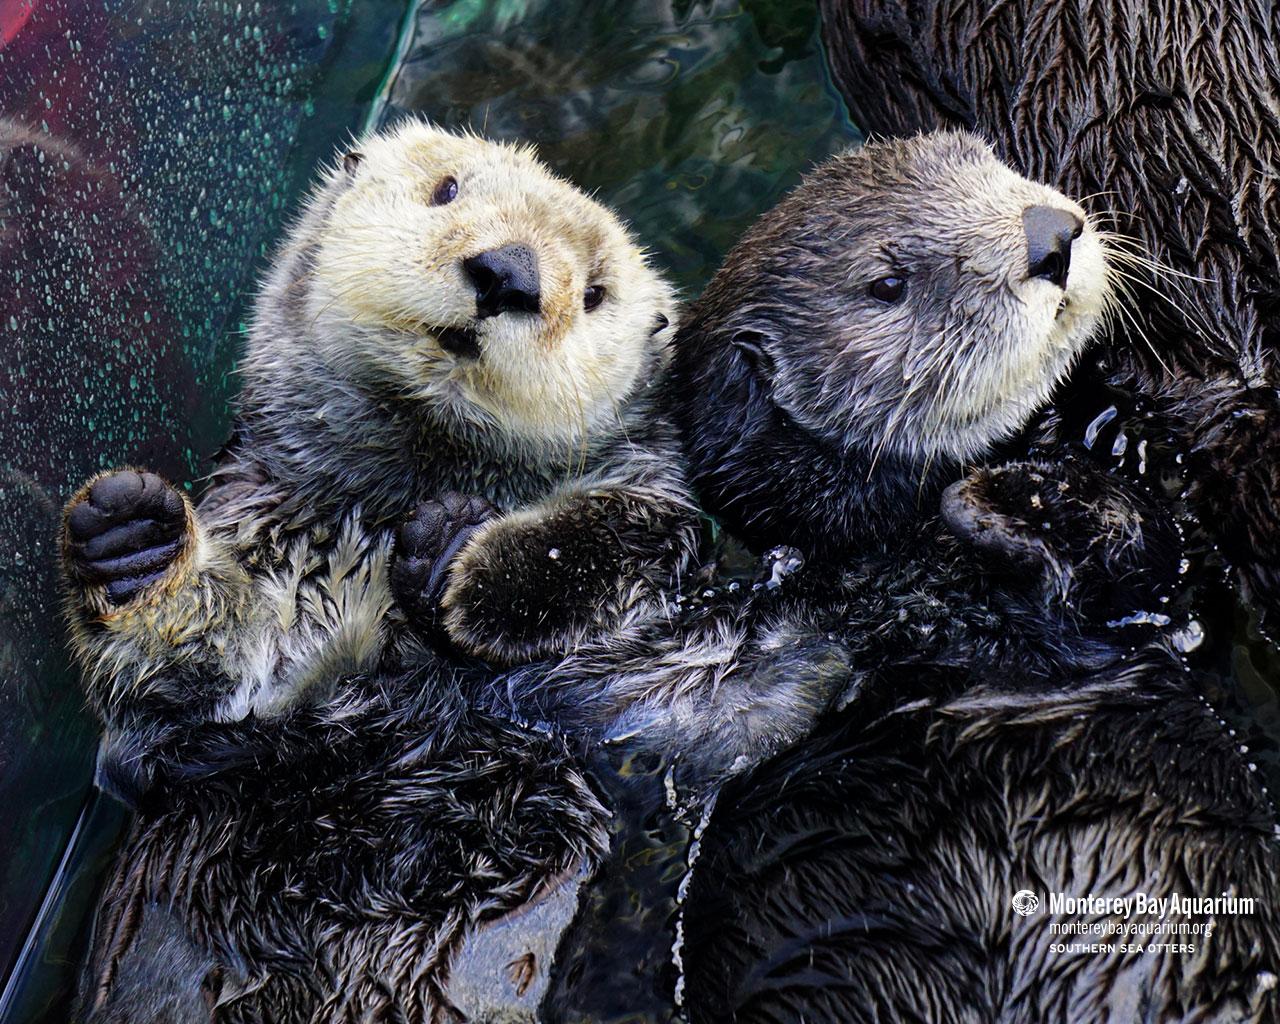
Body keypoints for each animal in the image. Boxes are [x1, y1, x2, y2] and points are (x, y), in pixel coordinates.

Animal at [59, 120, 694, 797]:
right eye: (446, 190)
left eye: (596, 294)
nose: (508, 273)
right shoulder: (271, 547)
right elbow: (185, 690)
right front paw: (134, 540)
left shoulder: (652, 518)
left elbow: (632, 531)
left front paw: (458, 554)